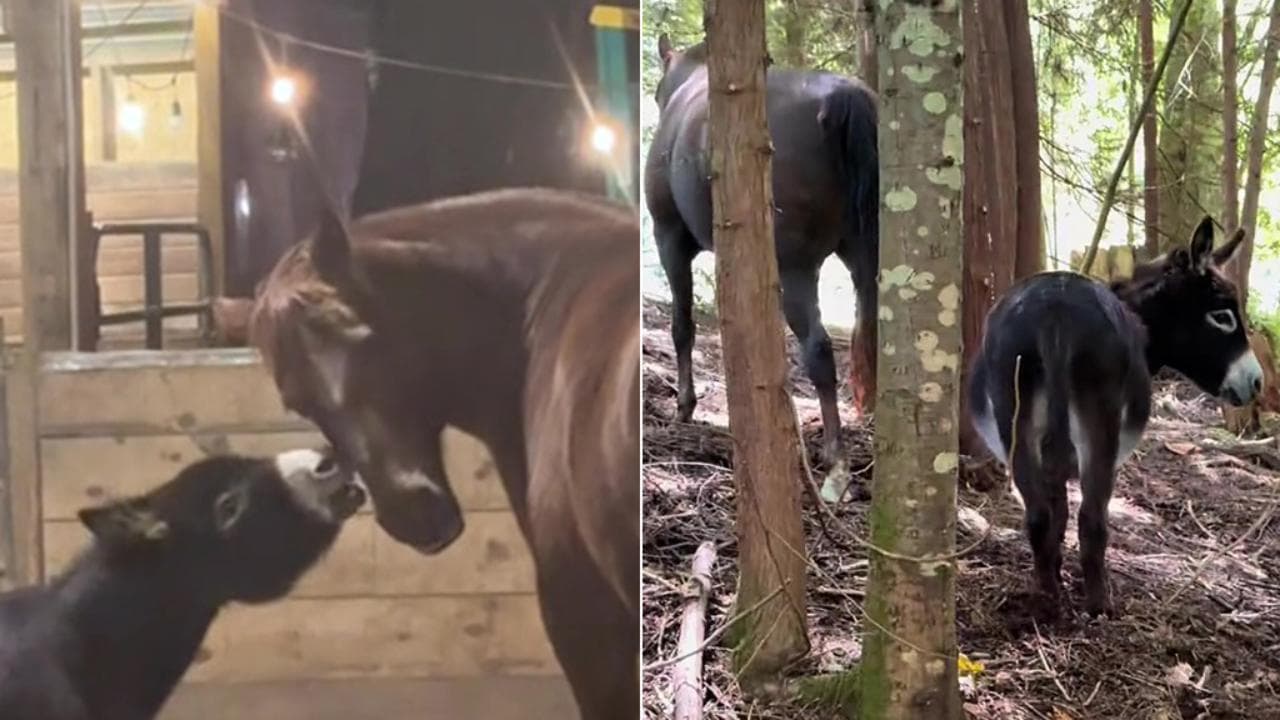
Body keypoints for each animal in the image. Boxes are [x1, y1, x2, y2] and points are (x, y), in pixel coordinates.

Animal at [644, 34, 879, 463]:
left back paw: (833, 448)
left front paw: (685, 406)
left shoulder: (669, 237)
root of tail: (842, 95)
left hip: (796, 267)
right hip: (865, 255)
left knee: (818, 348)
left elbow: (682, 325)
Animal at [968, 216, 1262, 616]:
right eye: (1221, 317)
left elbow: (1057, 513)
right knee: (1093, 518)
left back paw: (1046, 600)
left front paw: (1055, 574)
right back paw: (1099, 605)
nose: (1257, 383)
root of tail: (1055, 311)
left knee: (1038, 515)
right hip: (1100, 425)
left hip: (1015, 415)